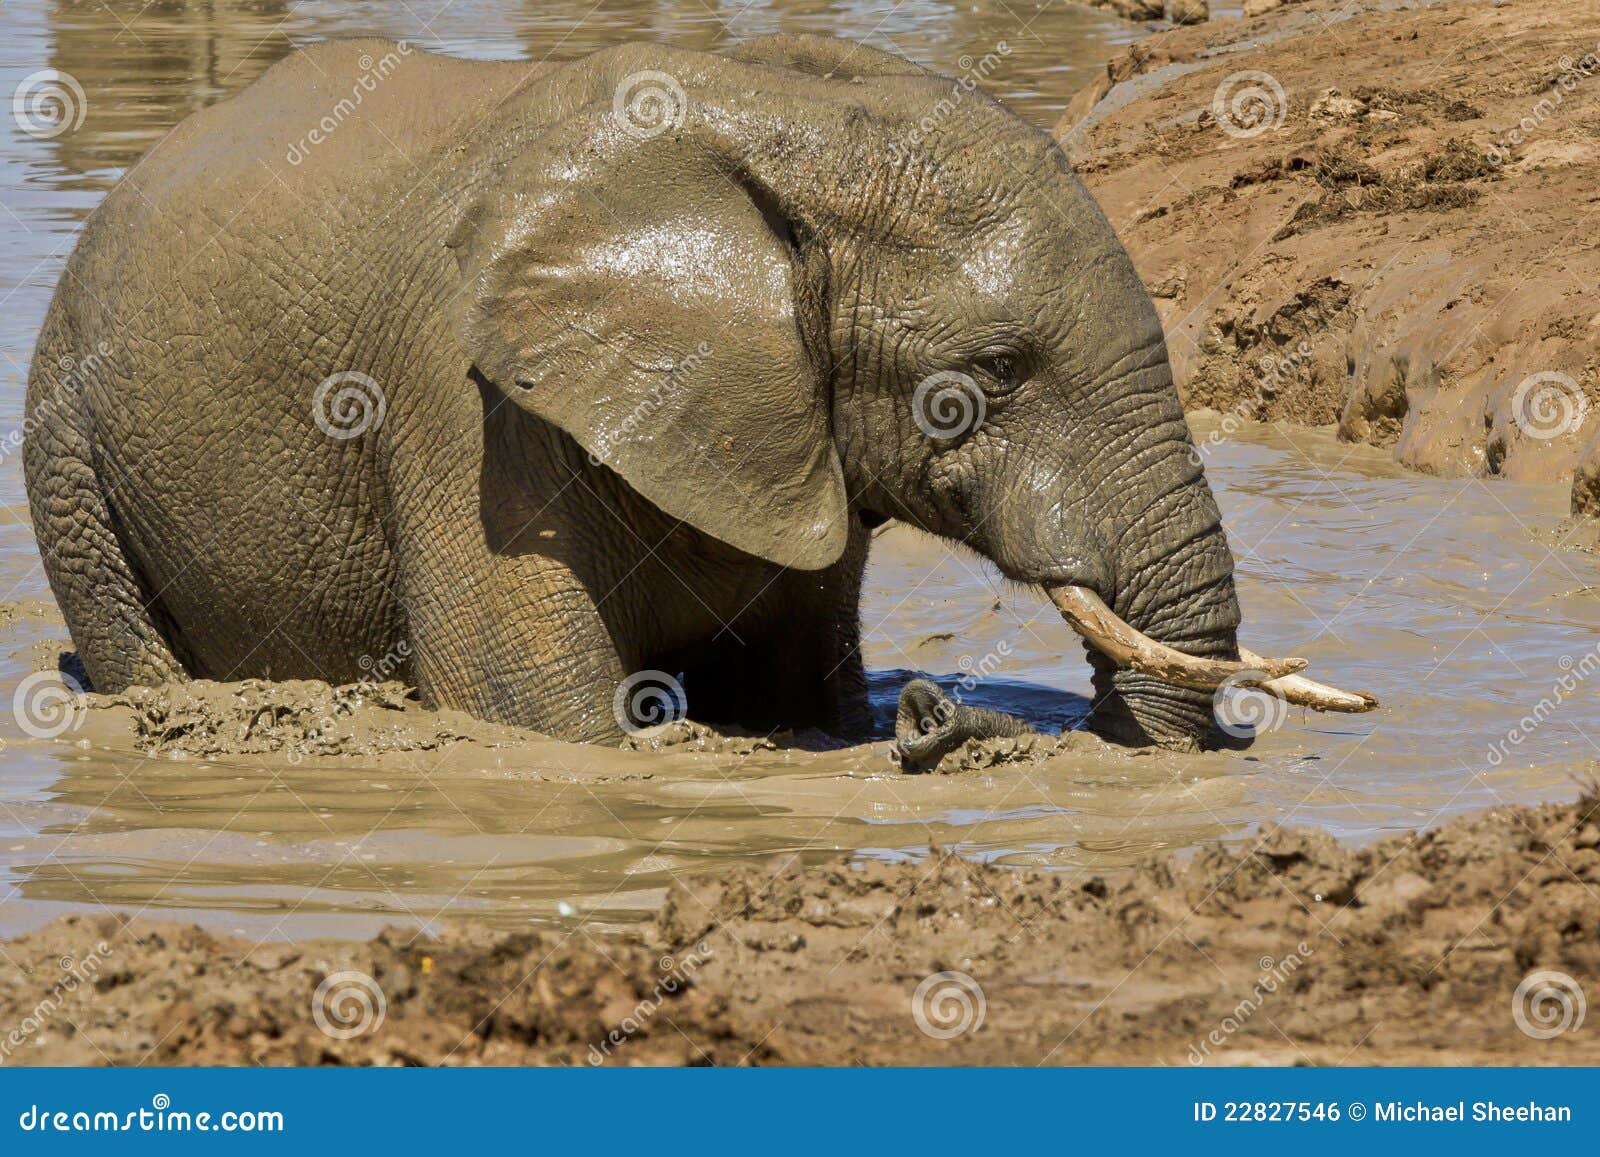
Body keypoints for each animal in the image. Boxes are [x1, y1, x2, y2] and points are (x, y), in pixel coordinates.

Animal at [24, 34, 1371, 751]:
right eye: (992, 374)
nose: (930, 713)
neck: (793, 124)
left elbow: (795, 689)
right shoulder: (464, 410)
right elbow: (533, 710)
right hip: (68, 451)